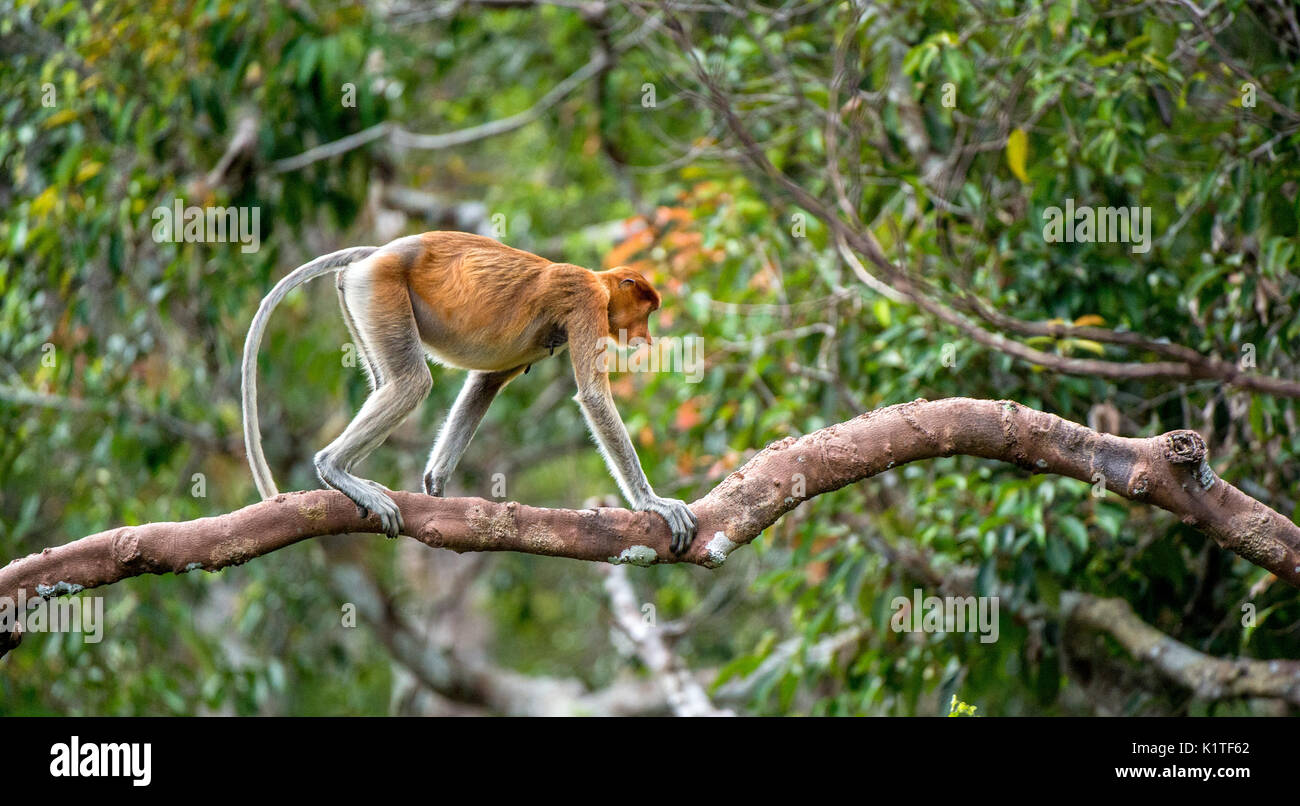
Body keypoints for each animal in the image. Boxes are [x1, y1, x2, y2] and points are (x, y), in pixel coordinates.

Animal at [241, 231, 698, 553]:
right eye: (647, 311)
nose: (645, 337)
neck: (600, 282)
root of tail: (377, 253)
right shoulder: (585, 302)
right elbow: (593, 397)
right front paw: (654, 503)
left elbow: (486, 382)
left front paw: (436, 487)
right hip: (379, 288)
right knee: (411, 382)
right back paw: (334, 468)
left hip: (362, 298)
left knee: (389, 381)